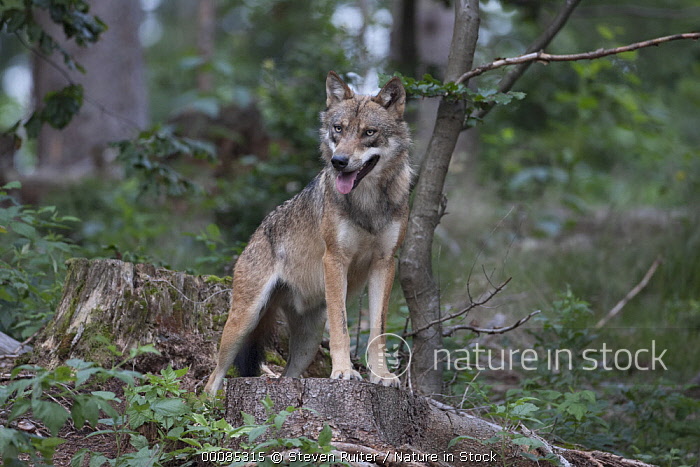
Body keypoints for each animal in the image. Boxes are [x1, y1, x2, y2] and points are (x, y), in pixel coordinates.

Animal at [204, 71, 411, 395]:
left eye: (369, 132)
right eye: (338, 129)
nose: (339, 162)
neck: (367, 203)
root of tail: (258, 233)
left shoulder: (385, 263)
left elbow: (378, 329)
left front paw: (382, 376)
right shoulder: (335, 259)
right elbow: (341, 327)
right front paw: (343, 372)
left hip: (307, 344)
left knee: (288, 376)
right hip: (243, 321)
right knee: (212, 378)